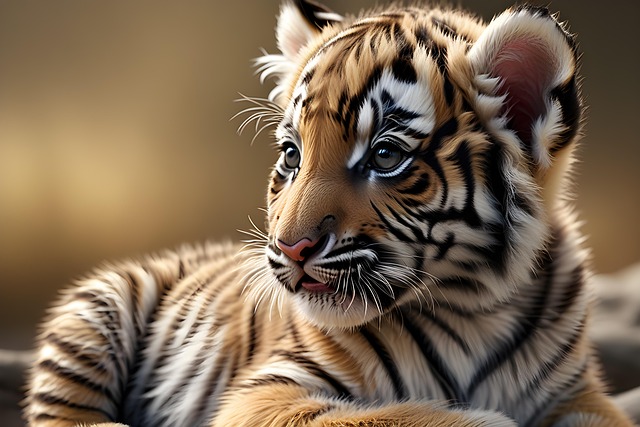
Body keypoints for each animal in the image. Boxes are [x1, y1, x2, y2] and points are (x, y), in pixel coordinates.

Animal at [23, 1, 635, 426]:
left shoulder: (578, 393)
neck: (475, 308)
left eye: (385, 156)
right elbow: (395, 417)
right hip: (97, 311)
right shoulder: (267, 390)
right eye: (292, 155)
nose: (290, 248)